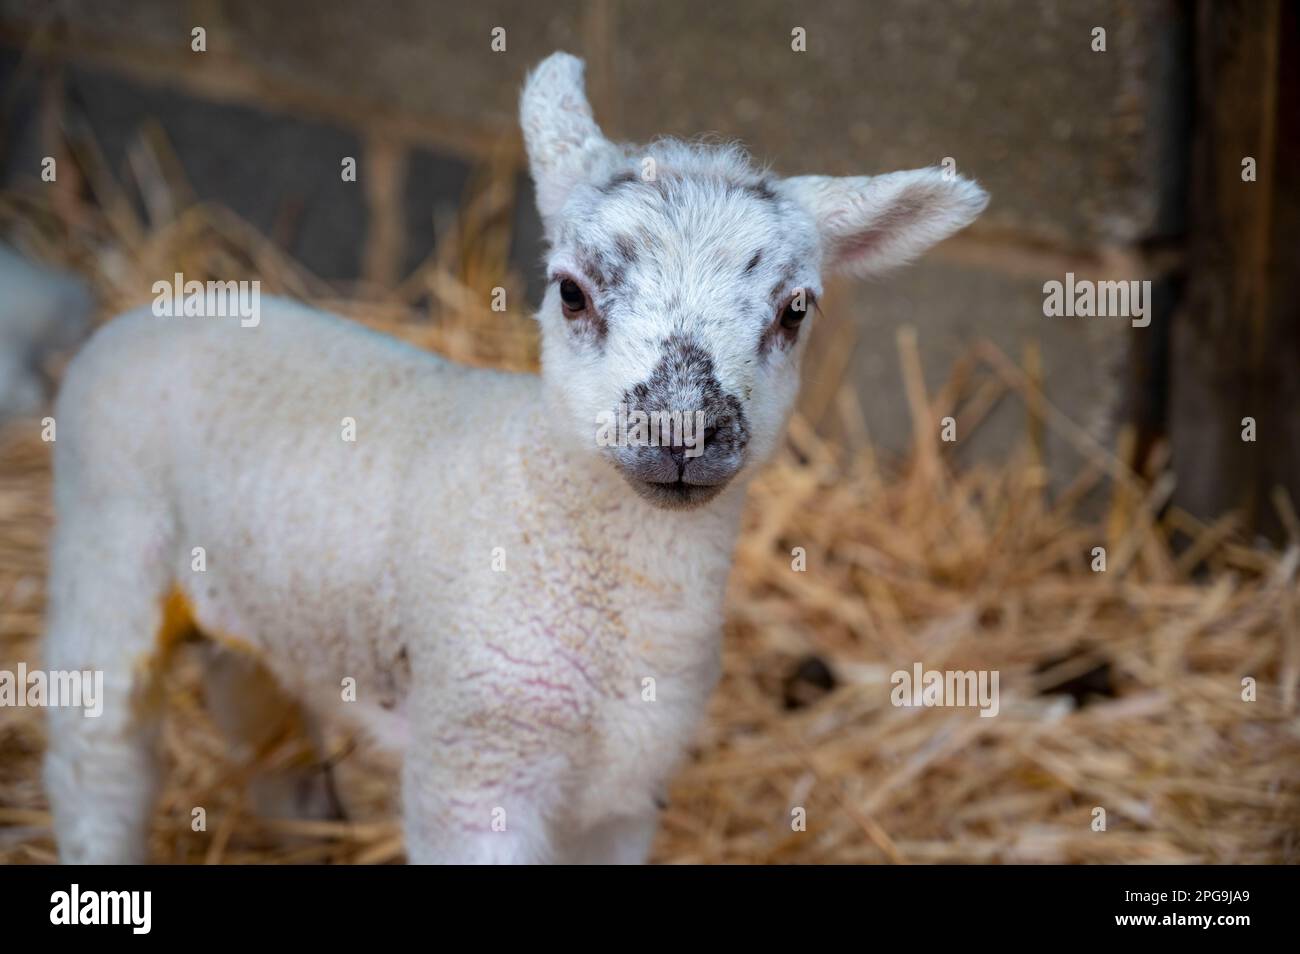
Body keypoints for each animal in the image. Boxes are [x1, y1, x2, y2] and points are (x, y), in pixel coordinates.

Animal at [43, 51, 987, 864]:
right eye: (570, 292)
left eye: (795, 310)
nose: (680, 430)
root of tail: (160, 304)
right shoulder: (474, 768)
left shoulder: (624, 792)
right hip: (103, 560)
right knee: (98, 762)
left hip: (248, 613)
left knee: (270, 741)